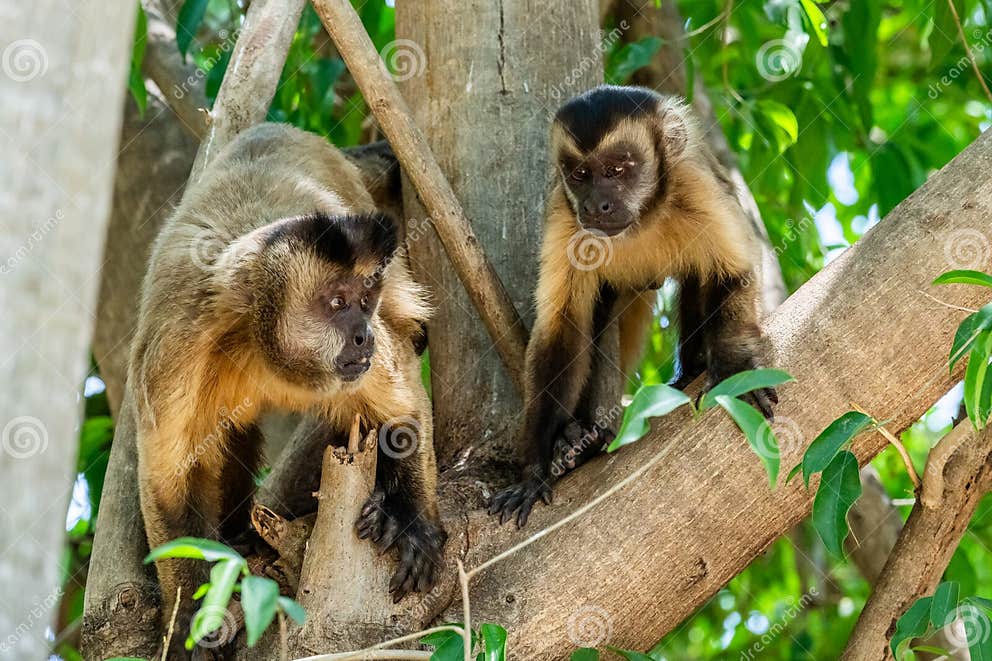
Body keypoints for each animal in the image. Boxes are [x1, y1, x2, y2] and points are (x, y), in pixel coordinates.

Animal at [129, 123, 445, 657]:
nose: (363, 334)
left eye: (364, 299)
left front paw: (410, 520)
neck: (257, 340)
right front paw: (191, 617)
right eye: (336, 303)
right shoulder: (178, 347)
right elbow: (168, 475)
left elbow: (401, 410)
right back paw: (238, 536)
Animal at [489, 85, 778, 527]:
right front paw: (535, 469)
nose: (595, 205)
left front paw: (733, 369)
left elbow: (732, 272)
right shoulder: (564, 215)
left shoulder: (694, 185)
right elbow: (562, 331)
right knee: (603, 307)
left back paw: (691, 369)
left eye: (616, 170)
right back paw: (580, 441)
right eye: (580, 175)